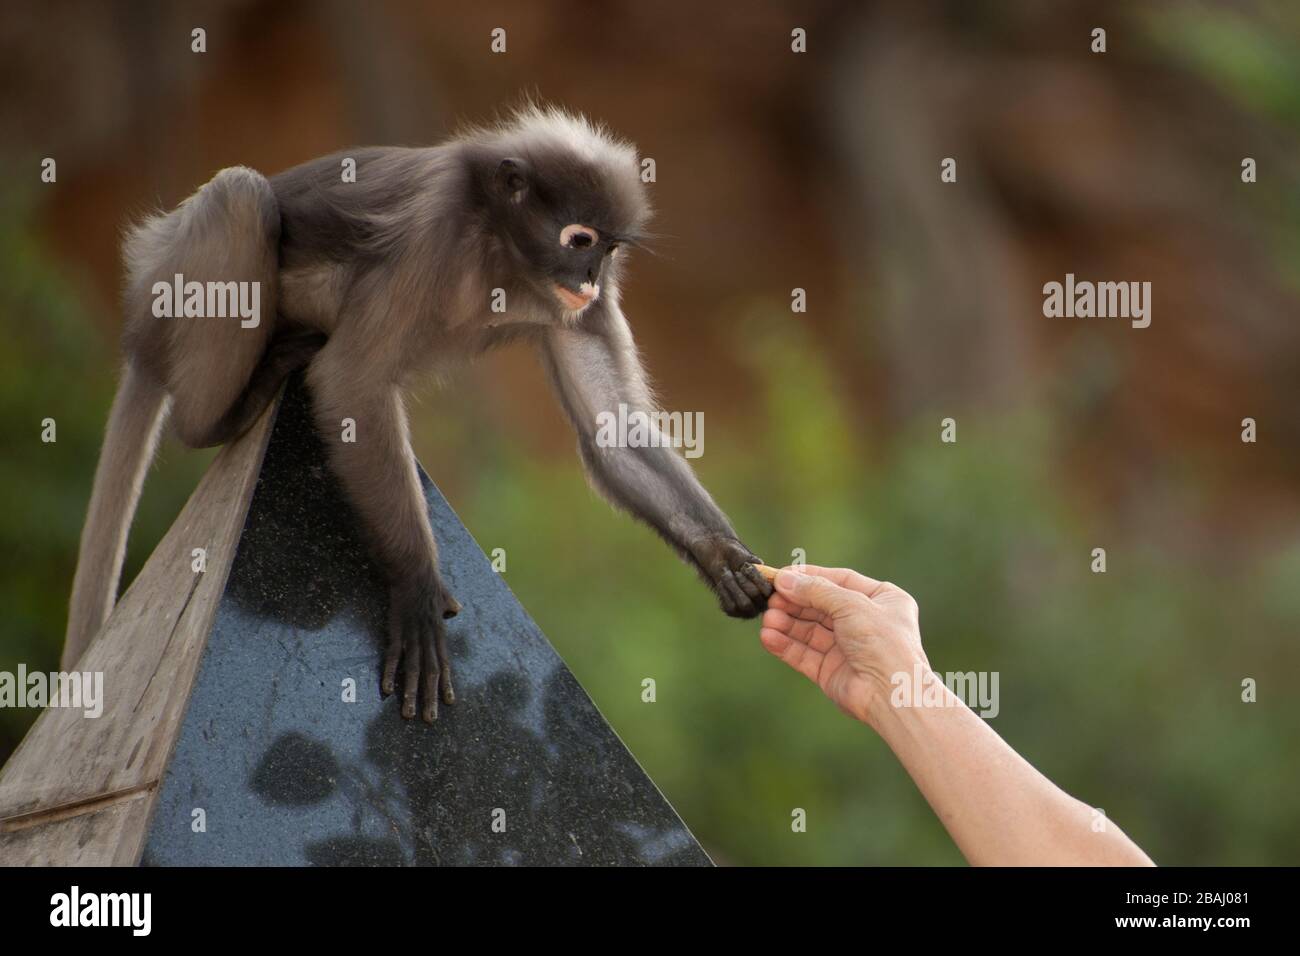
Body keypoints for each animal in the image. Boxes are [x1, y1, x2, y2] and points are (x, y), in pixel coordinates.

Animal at [64, 104, 773, 723]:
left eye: (610, 250)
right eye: (581, 239)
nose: (592, 278)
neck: (498, 253)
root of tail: (137, 333)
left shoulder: (574, 306)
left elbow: (613, 432)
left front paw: (722, 558)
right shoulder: (431, 236)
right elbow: (351, 384)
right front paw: (416, 590)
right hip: (172, 286)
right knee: (242, 198)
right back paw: (230, 407)